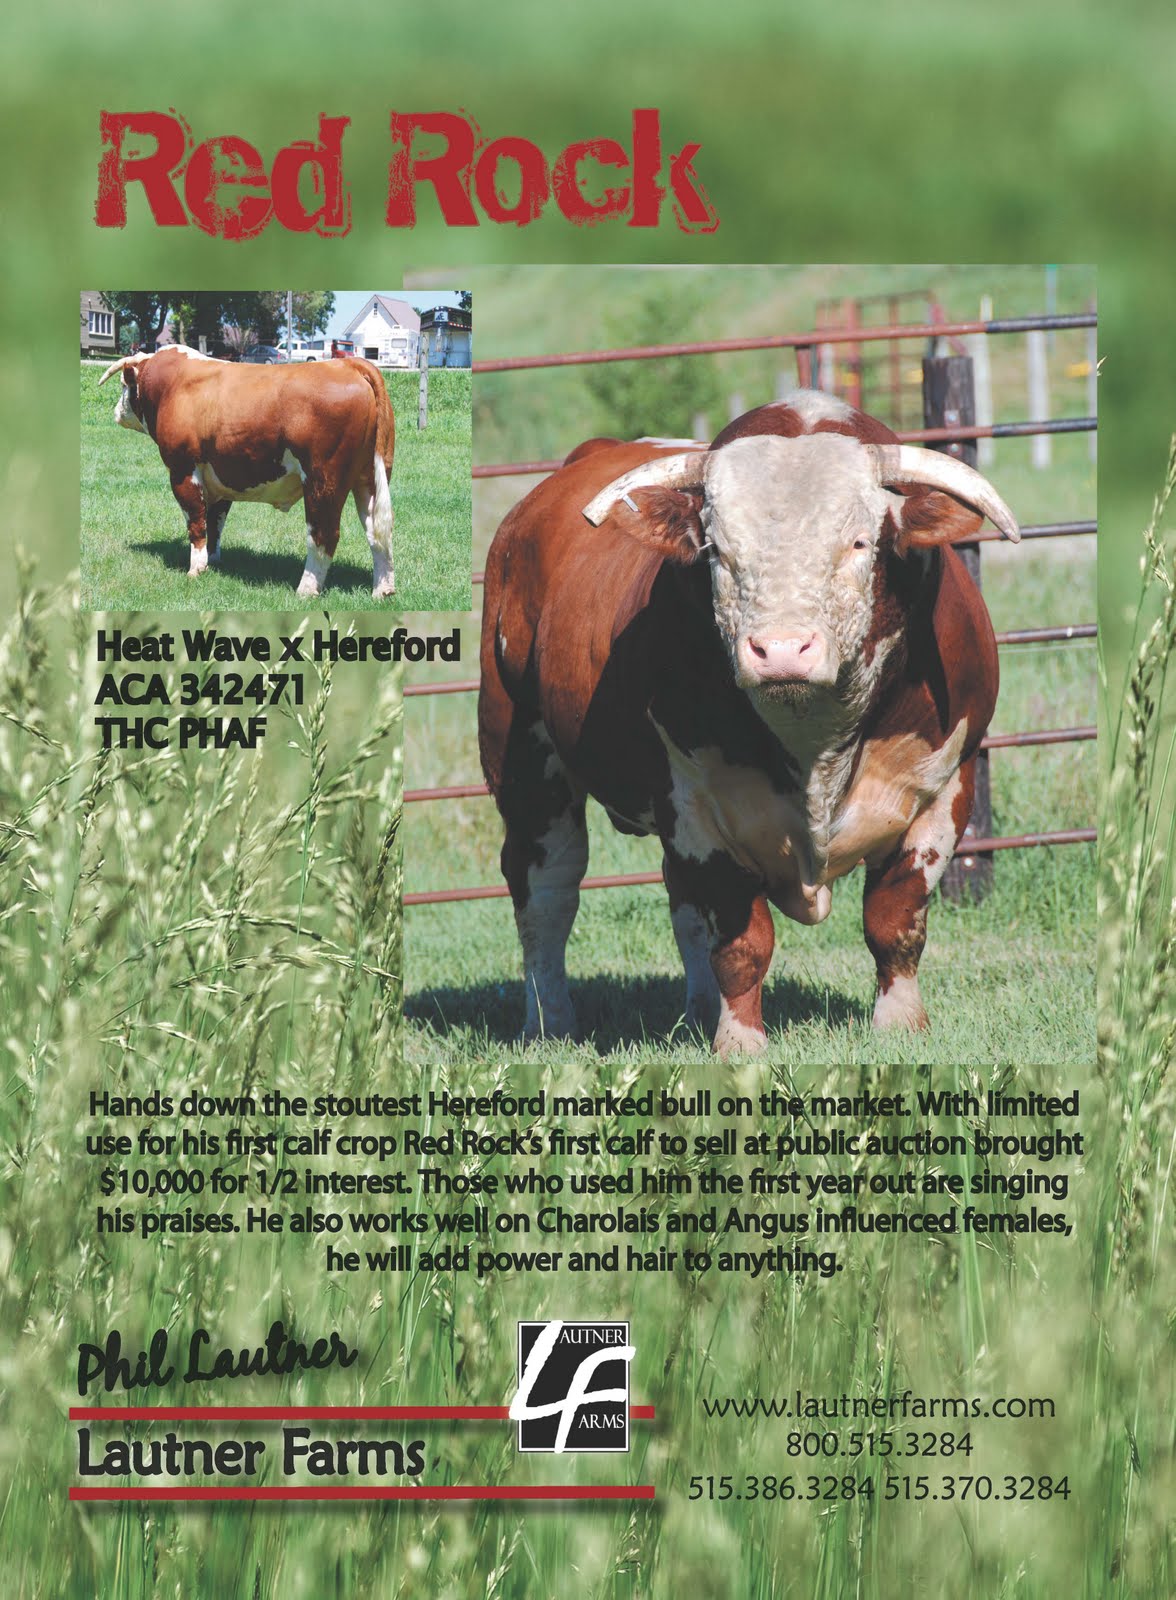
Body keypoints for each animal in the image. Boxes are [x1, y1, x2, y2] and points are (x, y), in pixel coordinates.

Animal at [97, 346, 396, 599]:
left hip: (323, 482)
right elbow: (214, 523)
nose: (116, 411)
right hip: (370, 478)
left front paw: (195, 569)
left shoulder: (183, 470)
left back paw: (306, 590)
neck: (173, 385)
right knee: (378, 532)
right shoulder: (220, 478)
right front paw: (212, 561)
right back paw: (383, 590)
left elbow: (196, 521)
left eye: (124, 386)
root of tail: (349, 364)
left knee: (324, 534)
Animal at [478, 391, 1020, 1057]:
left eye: (859, 543)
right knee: (545, 889)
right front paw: (739, 1043)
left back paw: (693, 1013)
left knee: (678, 904)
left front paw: (900, 1026)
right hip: (523, 758)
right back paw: (549, 1022)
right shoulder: (697, 813)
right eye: (717, 551)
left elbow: (895, 920)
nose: (781, 650)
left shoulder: (945, 789)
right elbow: (742, 944)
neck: (815, 744)